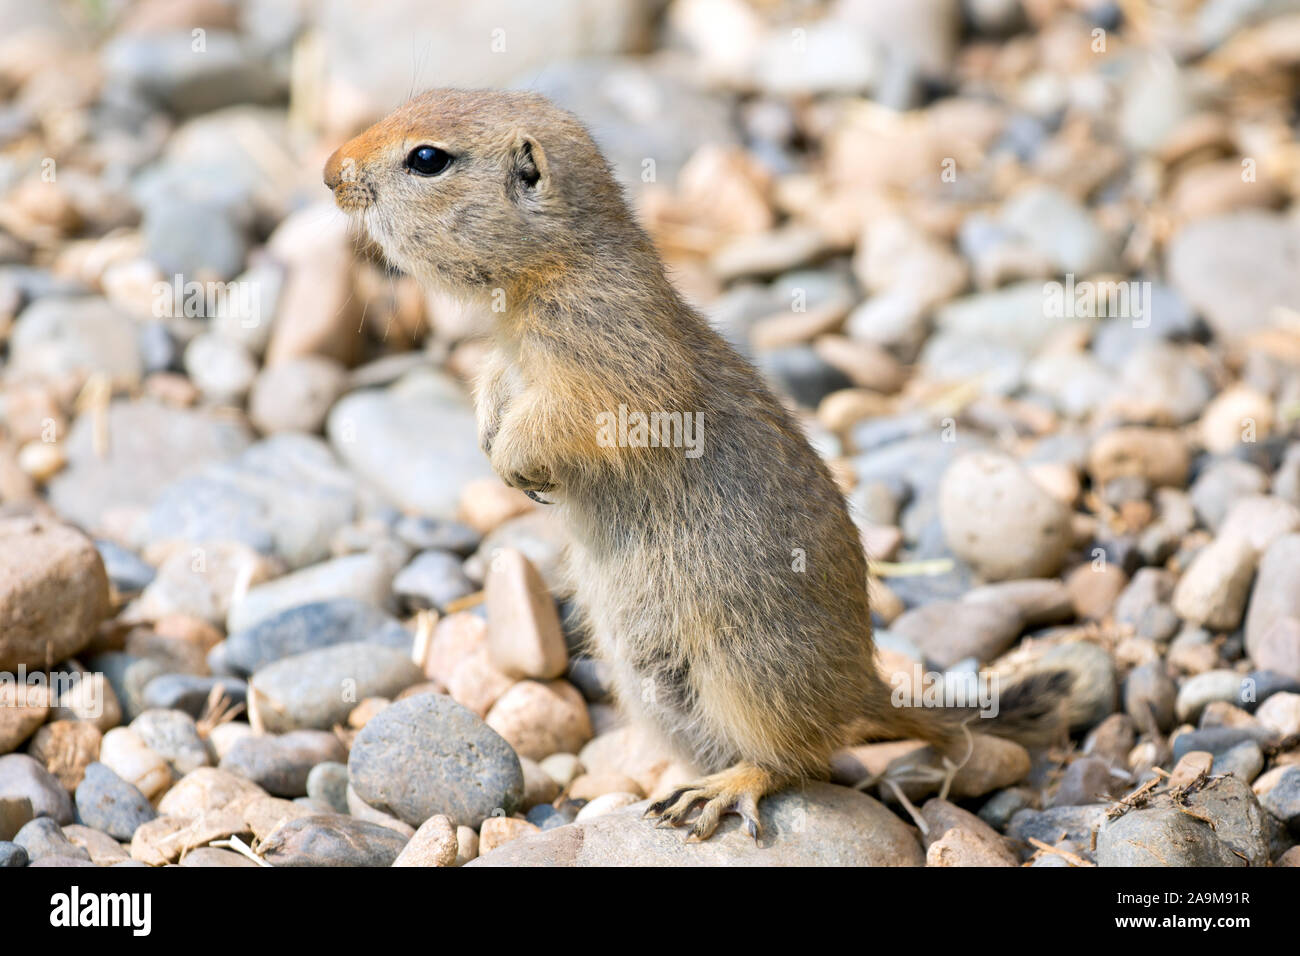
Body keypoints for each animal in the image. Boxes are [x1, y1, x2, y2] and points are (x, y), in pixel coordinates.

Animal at [324, 89, 1068, 842]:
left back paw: (714, 793)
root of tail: (869, 687)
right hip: (651, 691)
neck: (552, 270)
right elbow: (492, 387)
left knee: (799, 761)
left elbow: (571, 415)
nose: (330, 172)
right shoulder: (507, 358)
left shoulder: (607, 356)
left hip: (745, 674)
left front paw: (514, 463)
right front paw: (490, 440)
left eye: (427, 159)